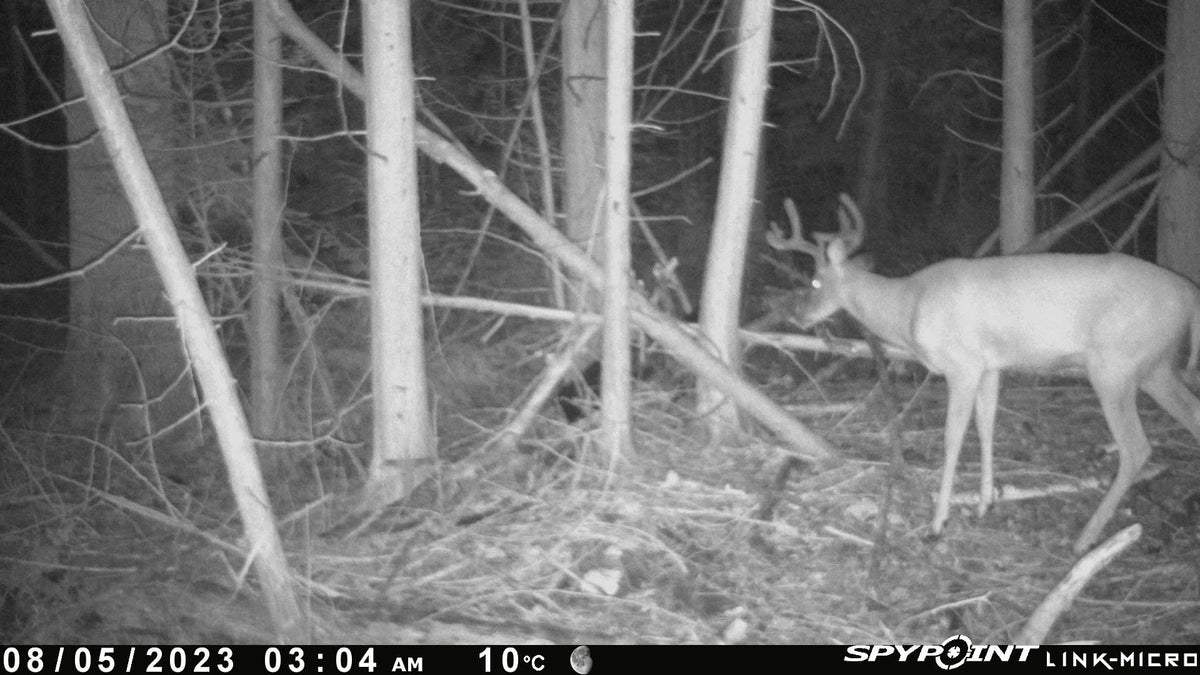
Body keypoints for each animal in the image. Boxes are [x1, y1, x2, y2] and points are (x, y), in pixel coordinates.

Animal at [768, 193, 1200, 554]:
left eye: (815, 280)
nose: (796, 315)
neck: (909, 306)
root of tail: (1191, 293)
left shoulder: (962, 364)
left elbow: (953, 436)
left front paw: (938, 522)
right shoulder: (990, 365)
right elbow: (986, 425)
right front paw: (983, 504)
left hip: (1114, 365)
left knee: (1136, 446)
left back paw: (1086, 538)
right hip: (1156, 367)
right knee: (1192, 415)